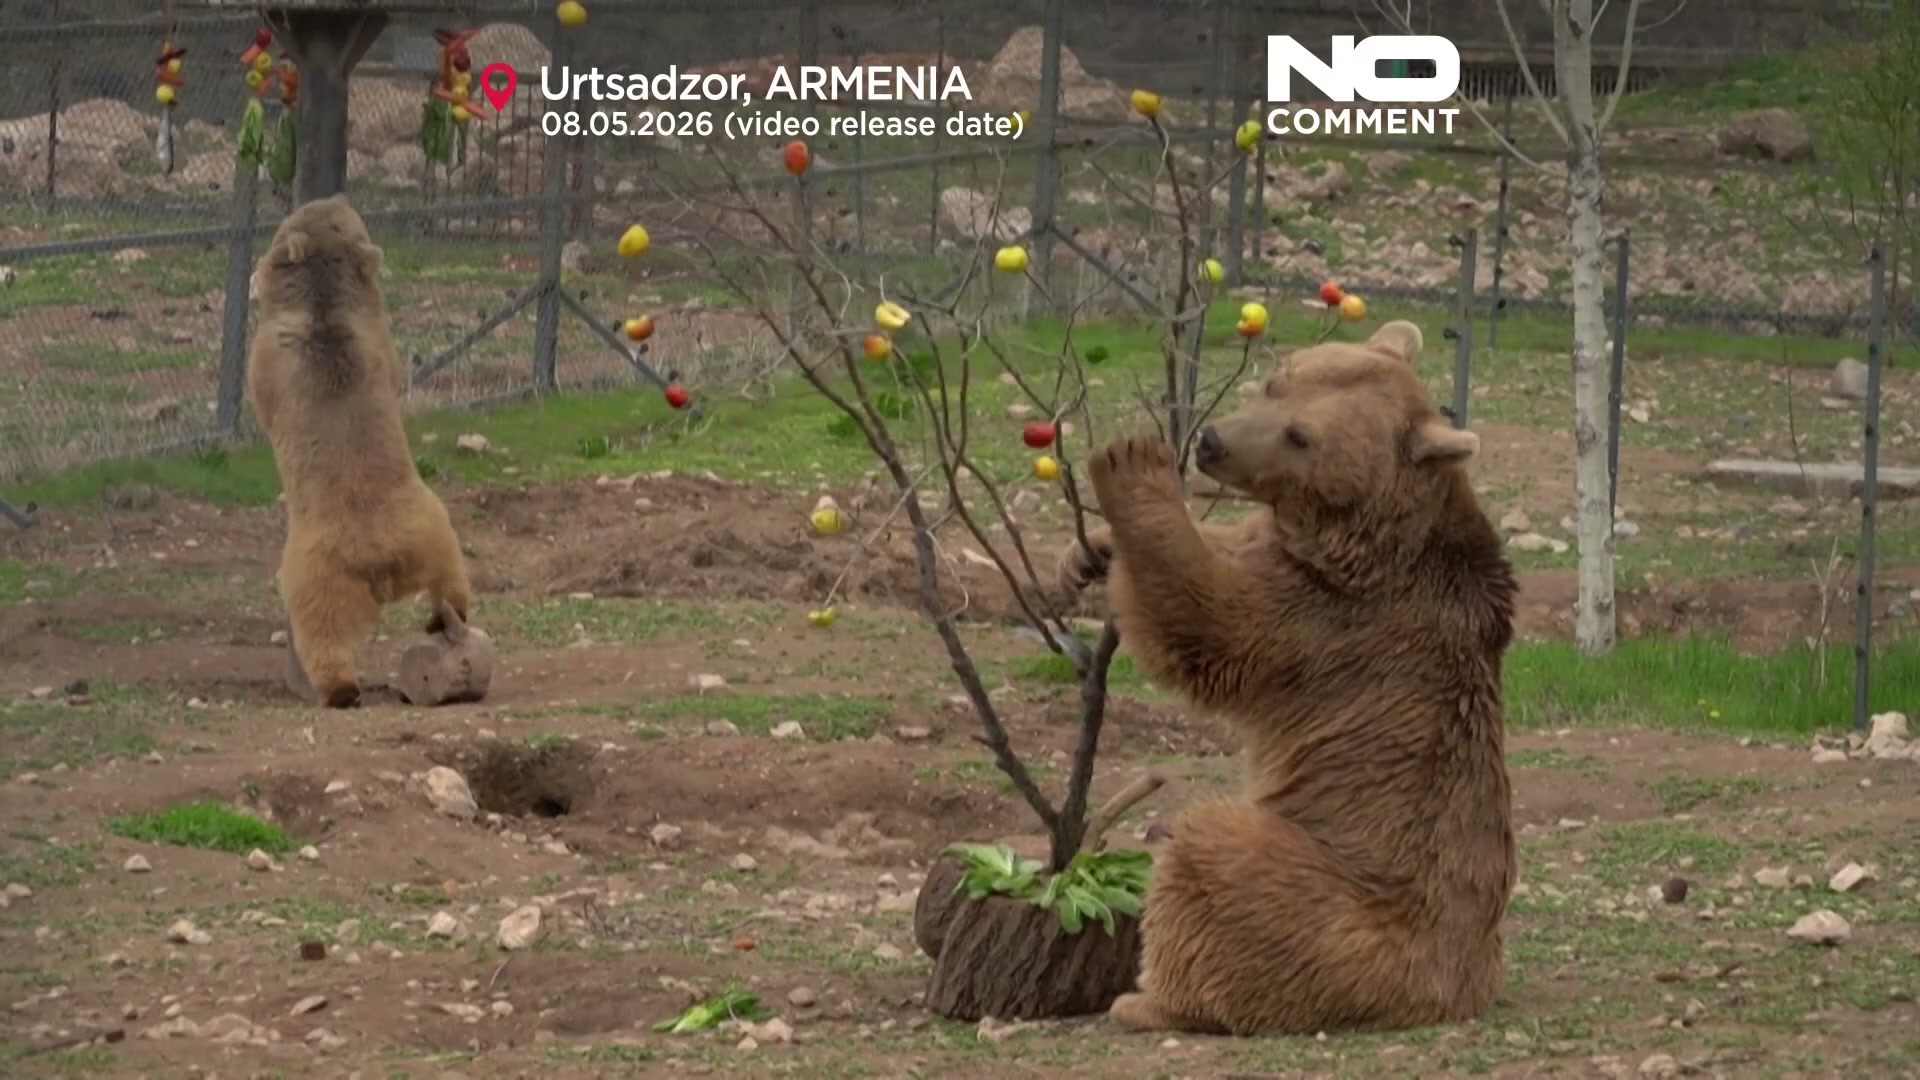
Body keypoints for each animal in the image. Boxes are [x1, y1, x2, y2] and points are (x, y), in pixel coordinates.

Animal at [247, 194, 474, 709]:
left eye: (298, 215)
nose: (340, 195)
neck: (324, 303)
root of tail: (382, 559)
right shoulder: (377, 335)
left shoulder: (268, 351)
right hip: (437, 528)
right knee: (451, 583)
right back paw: (445, 618)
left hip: (314, 574)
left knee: (324, 635)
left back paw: (340, 690)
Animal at [1081, 320, 1519, 1037]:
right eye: (1276, 382)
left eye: (1301, 436)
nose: (1211, 440)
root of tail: (1449, 992)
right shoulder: (1285, 556)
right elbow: (1228, 550)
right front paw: (1087, 549)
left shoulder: (1330, 617)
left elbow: (1210, 622)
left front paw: (1132, 462)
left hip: (1327, 900)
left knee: (1209, 855)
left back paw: (1148, 999)